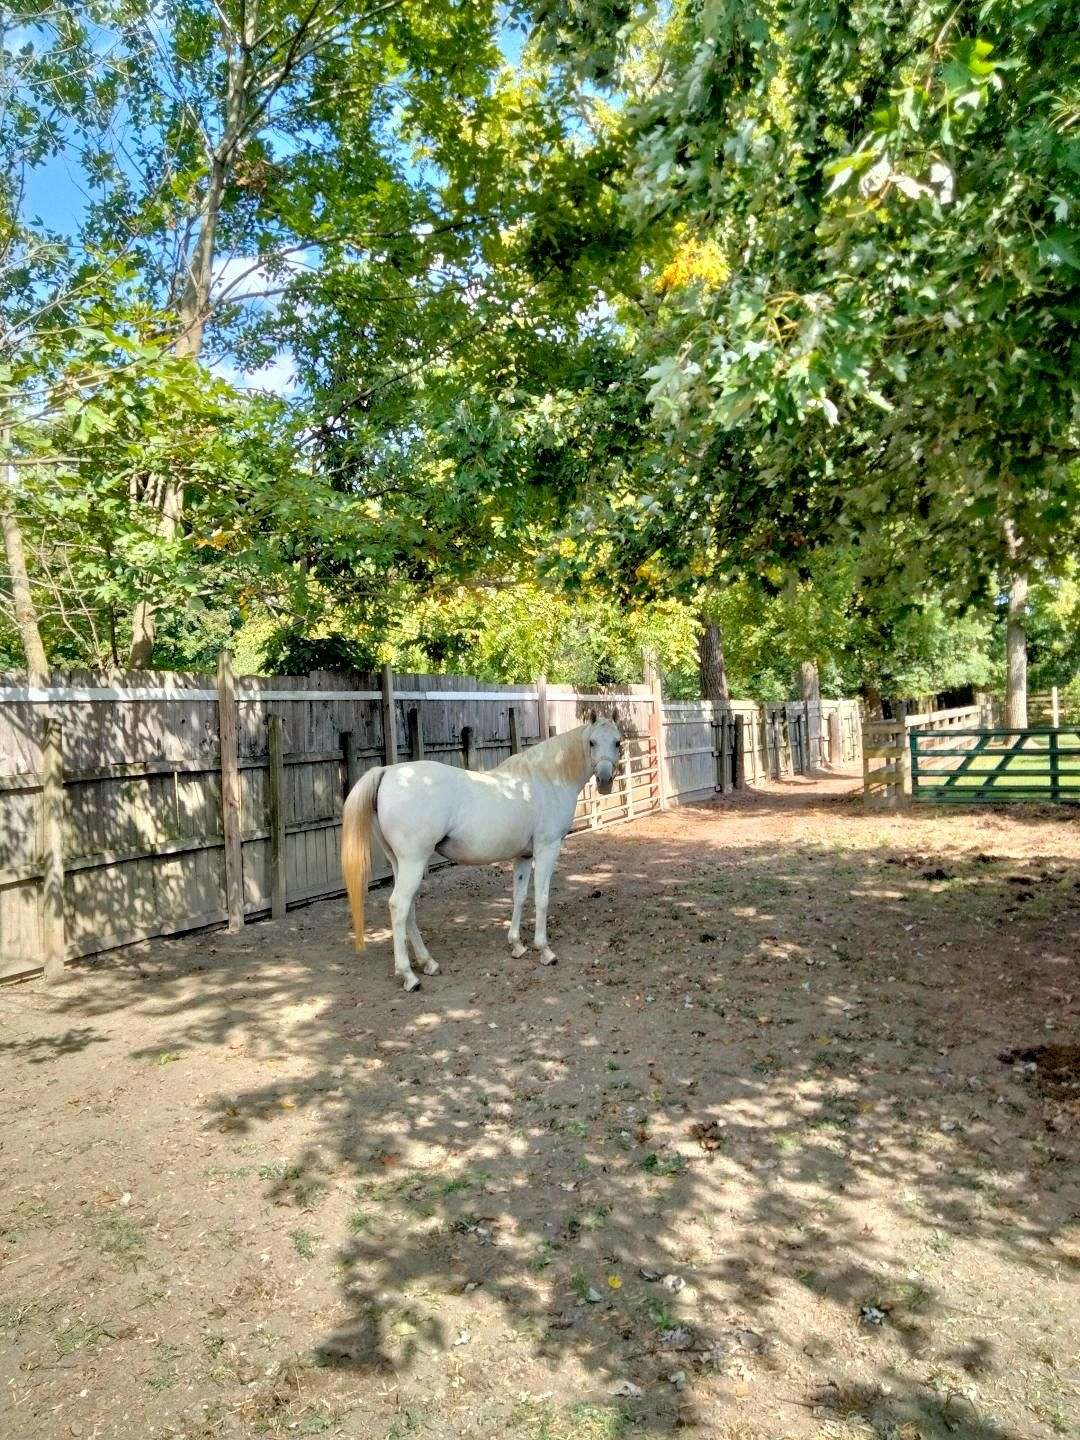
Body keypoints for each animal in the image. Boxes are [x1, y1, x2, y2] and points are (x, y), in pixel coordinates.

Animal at [340, 717, 623, 991]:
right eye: (592, 742)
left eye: (617, 742)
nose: (604, 780)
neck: (548, 779)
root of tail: (387, 772)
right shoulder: (547, 849)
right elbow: (542, 899)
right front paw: (545, 951)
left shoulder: (524, 856)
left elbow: (519, 897)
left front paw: (517, 945)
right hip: (414, 862)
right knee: (399, 906)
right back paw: (409, 976)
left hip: (400, 863)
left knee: (407, 910)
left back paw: (428, 962)